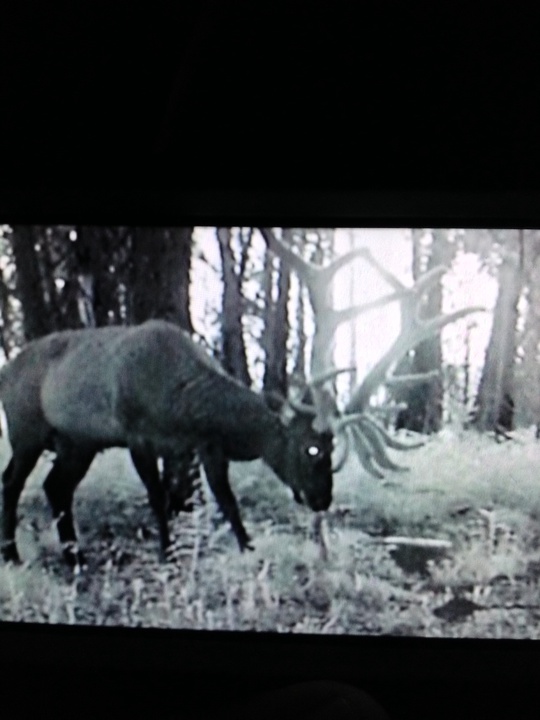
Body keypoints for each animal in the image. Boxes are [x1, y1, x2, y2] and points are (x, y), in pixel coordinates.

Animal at [0, 319, 349, 567]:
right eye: (311, 448)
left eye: (332, 446)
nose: (323, 499)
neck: (183, 407)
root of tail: (6, 370)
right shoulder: (138, 435)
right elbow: (159, 497)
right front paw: (167, 553)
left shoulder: (202, 446)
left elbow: (225, 500)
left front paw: (248, 548)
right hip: (25, 431)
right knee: (12, 481)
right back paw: (12, 555)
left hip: (76, 443)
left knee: (55, 486)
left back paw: (74, 556)